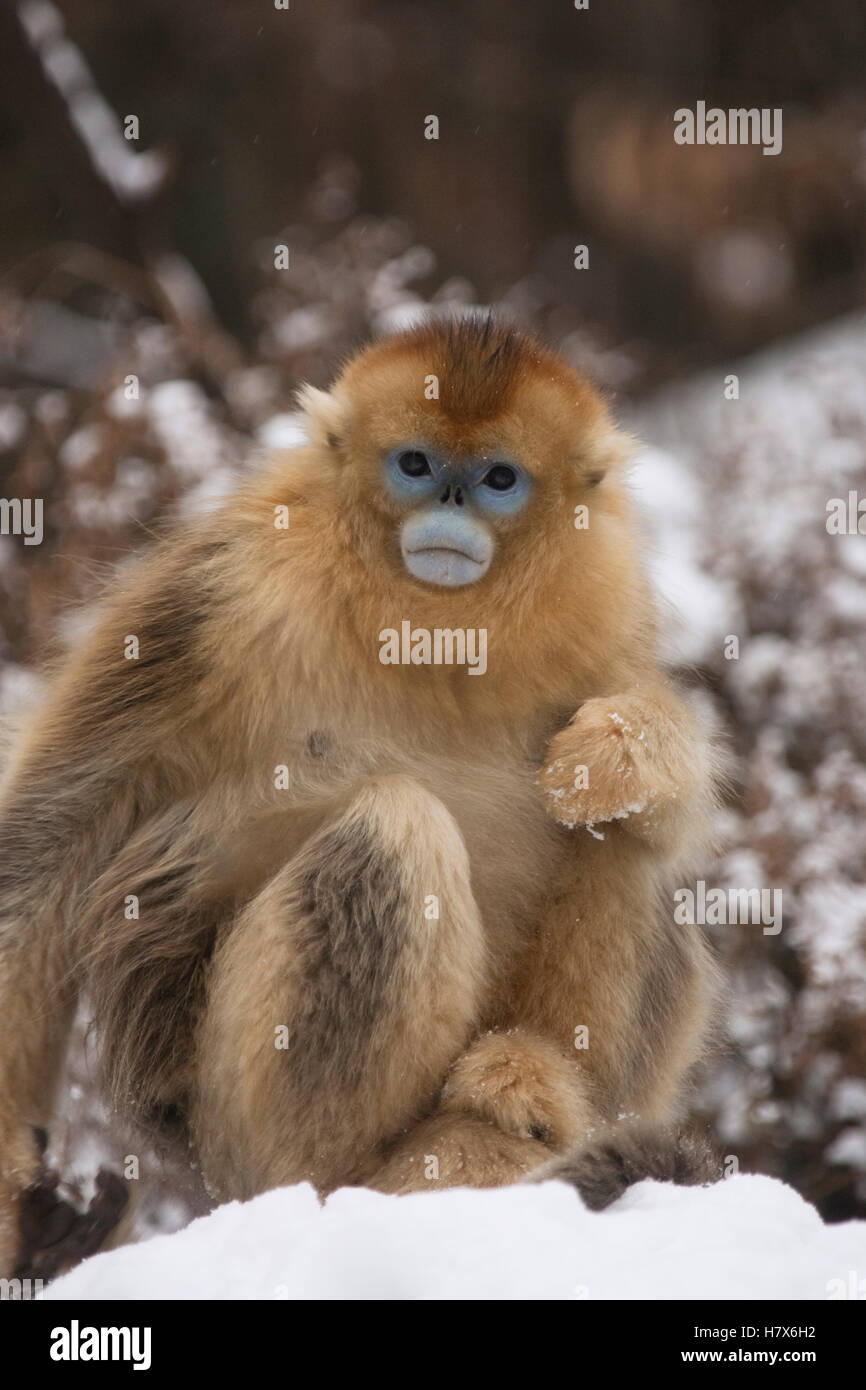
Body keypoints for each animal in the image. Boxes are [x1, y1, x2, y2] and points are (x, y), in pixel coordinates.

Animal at [0, 315, 721, 1276]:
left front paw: (620, 757)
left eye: (498, 479)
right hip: (232, 1129)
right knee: (394, 826)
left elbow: (656, 812)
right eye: (414, 464)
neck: (437, 627)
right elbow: (51, 845)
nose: (449, 503)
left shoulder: (605, 601)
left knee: (623, 844)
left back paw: (528, 1098)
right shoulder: (219, 589)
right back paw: (370, 1184)